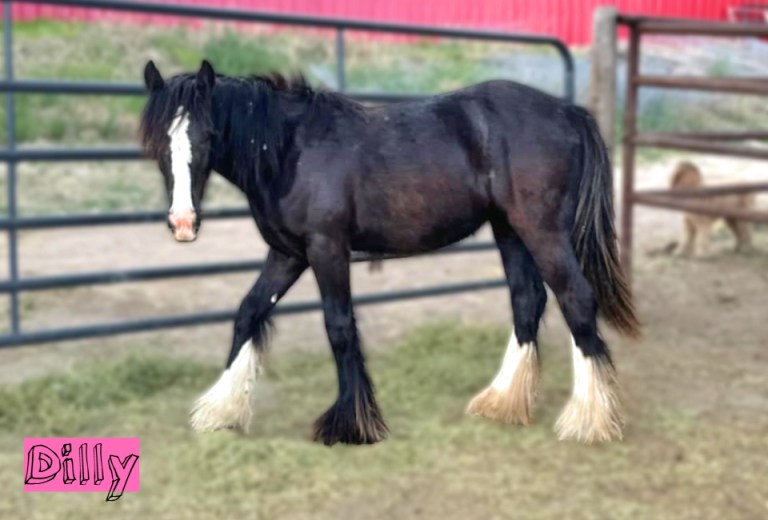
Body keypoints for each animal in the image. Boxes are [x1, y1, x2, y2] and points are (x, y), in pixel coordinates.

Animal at [140, 60, 640, 445]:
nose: (183, 224)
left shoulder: (326, 249)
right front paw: (221, 410)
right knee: (526, 301)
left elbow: (339, 327)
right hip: (509, 230)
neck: (290, 150)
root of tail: (568, 112)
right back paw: (502, 402)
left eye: (206, 135)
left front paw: (351, 425)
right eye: (159, 143)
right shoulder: (288, 254)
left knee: (576, 298)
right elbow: (248, 312)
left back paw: (589, 420)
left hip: (542, 230)